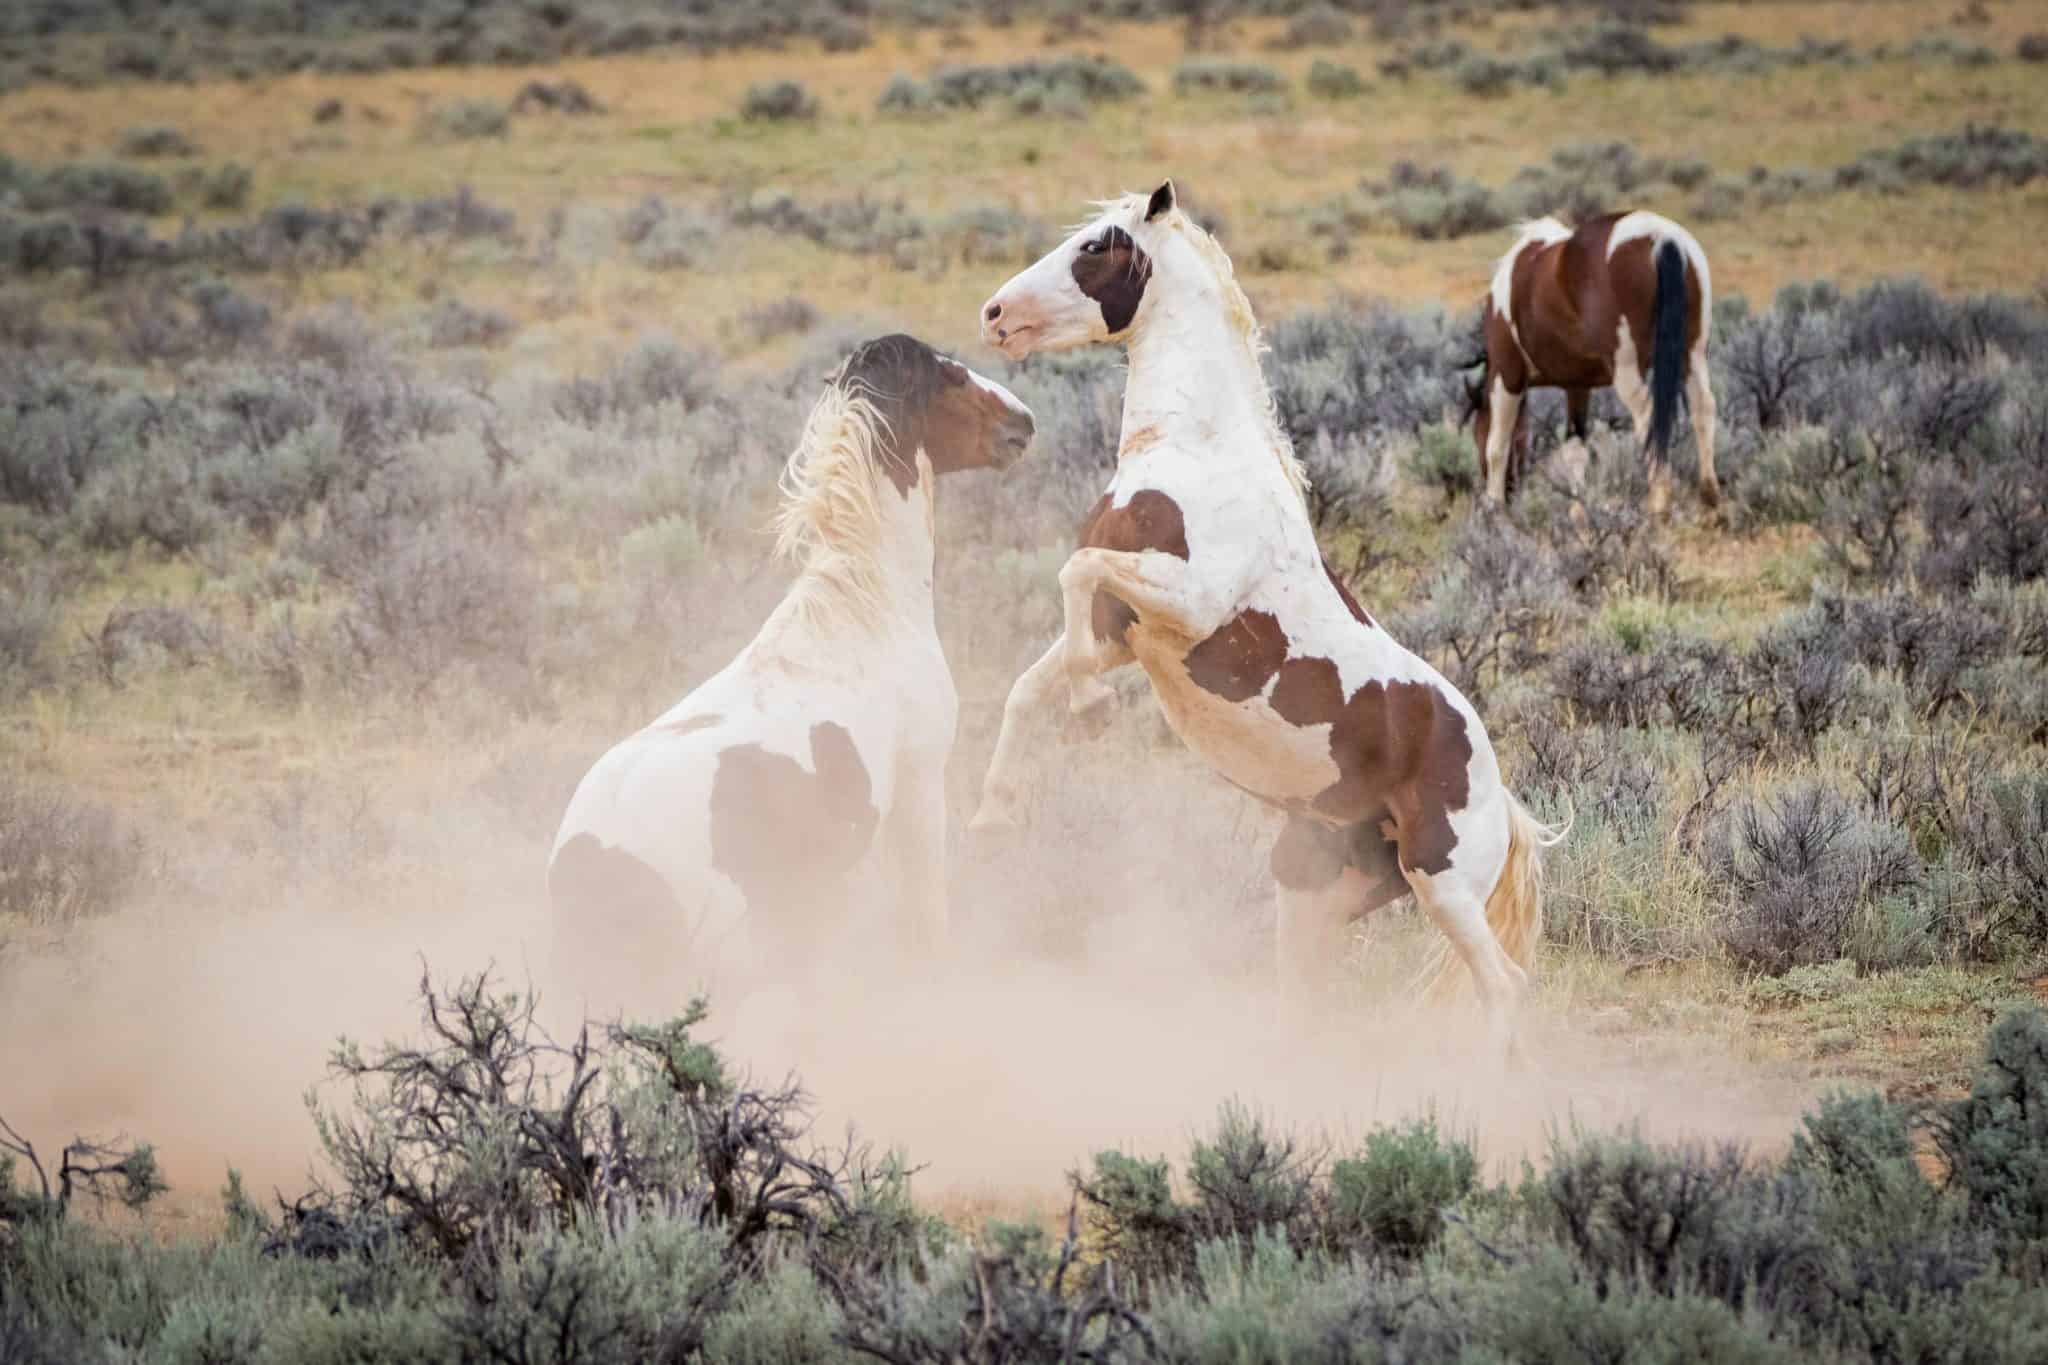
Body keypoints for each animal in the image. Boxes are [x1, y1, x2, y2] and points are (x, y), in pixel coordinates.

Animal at [549, 334, 1035, 1005]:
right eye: (951, 376)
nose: (1023, 422)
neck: (869, 609)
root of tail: (593, 865)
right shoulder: (920, 790)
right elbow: (925, 923)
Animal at [973, 181, 1562, 1057]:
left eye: (1096, 246)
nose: (995, 313)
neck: (1196, 450)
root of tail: (1502, 793)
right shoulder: (1122, 630)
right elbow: (1030, 679)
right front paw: (993, 811)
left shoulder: (1187, 601)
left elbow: (1073, 577)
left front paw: (1090, 711)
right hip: (1315, 890)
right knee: (1308, 997)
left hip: (1445, 887)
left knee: (1504, 986)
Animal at [1464, 211, 1719, 519]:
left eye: (1475, 432)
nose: (1511, 491)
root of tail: (1662, 238)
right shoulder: (1577, 386)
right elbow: (1575, 447)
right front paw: (1578, 508)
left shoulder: (1507, 375)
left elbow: (1497, 444)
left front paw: (1494, 505)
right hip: (1692, 354)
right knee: (1703, 407)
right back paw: (1710, 497)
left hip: (1627, 371)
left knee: (1648, 415)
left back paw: (1659, 500)